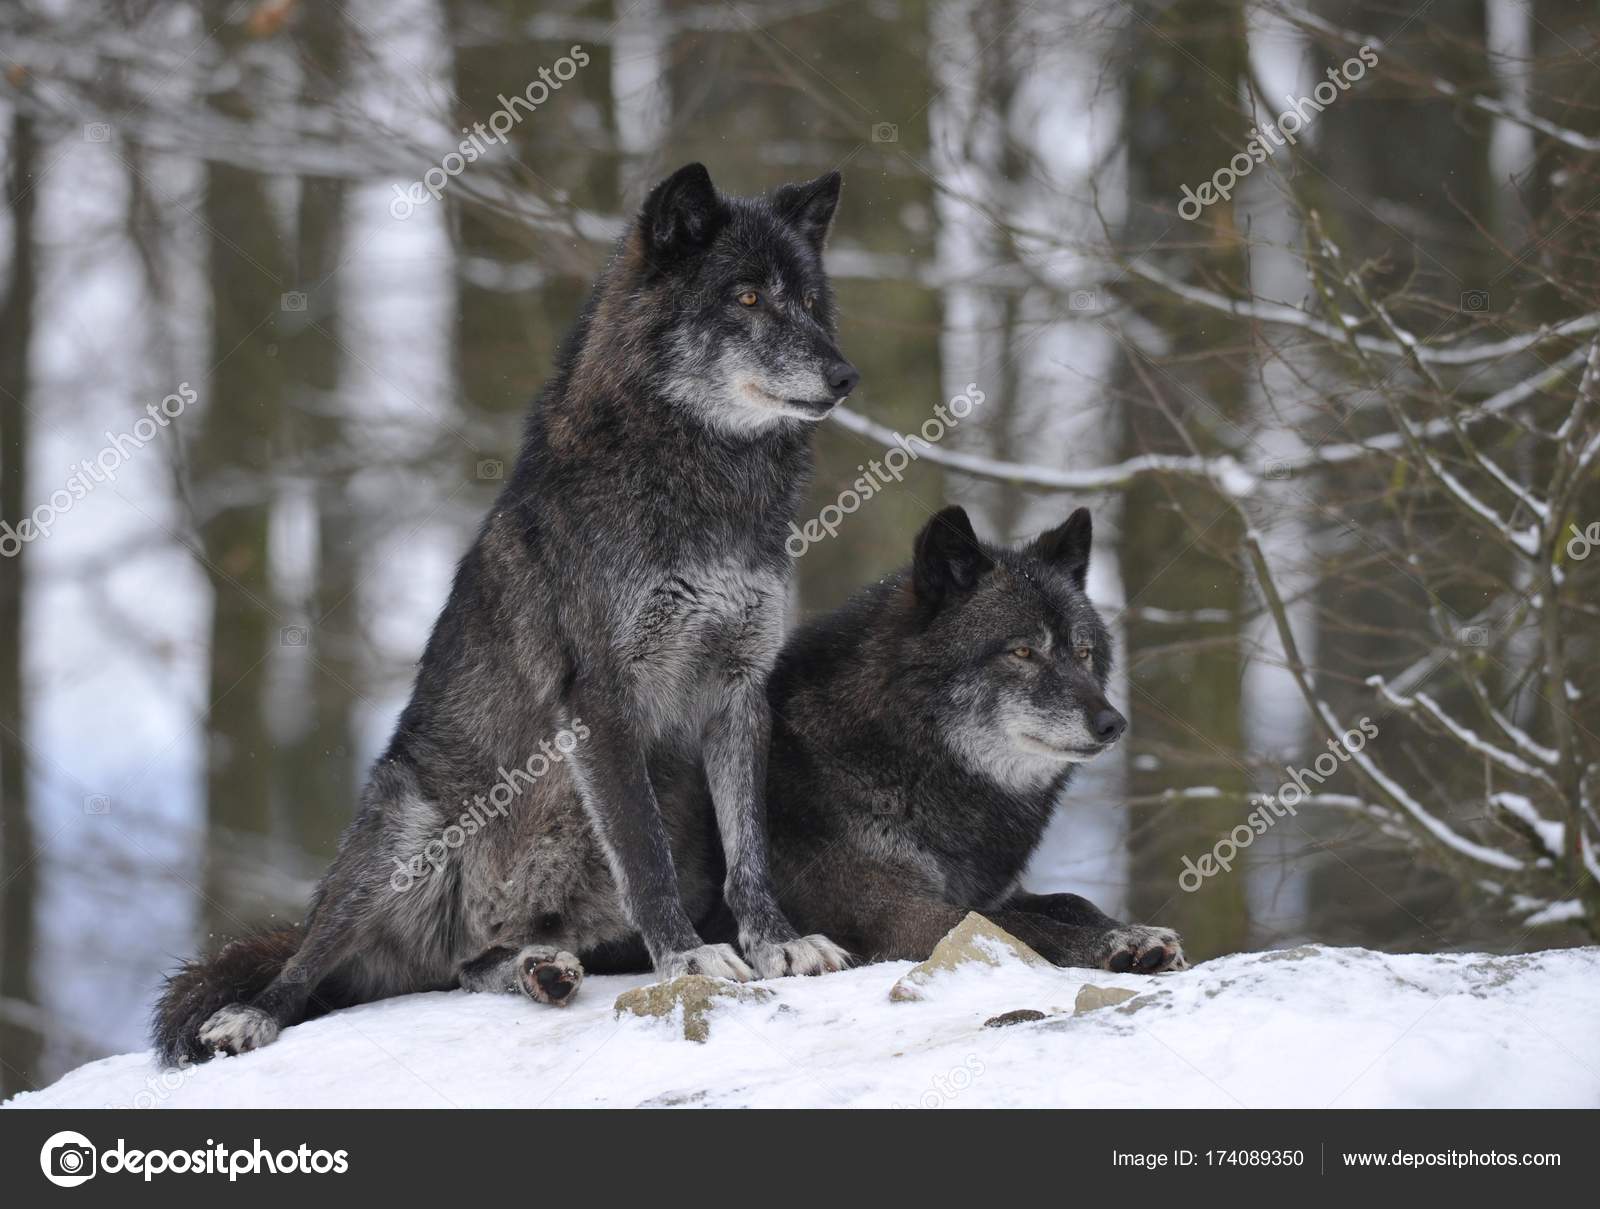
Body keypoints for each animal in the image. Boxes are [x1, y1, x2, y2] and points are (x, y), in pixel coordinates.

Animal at [154, 163, 858, 1064]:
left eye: (806, 299)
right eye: (744, 297)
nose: (844, 377)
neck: (704, 486)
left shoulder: (738, 691)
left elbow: (752, 851)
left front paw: (778, 943)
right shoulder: (599, 702)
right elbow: (646, 860)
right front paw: (692, 956)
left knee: (468, 962)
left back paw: (539, 967)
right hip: (399, 831)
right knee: (313, 964)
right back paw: (252, 1014)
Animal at [747, 504, 1186, 972]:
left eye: (1083, 653)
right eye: (1023, 651)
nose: (1113, 724)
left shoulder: (996, 892)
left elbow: (1071, 900)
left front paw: (1131, 929)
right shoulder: (899, 917)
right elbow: (1020, 926)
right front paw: (1116, 941)